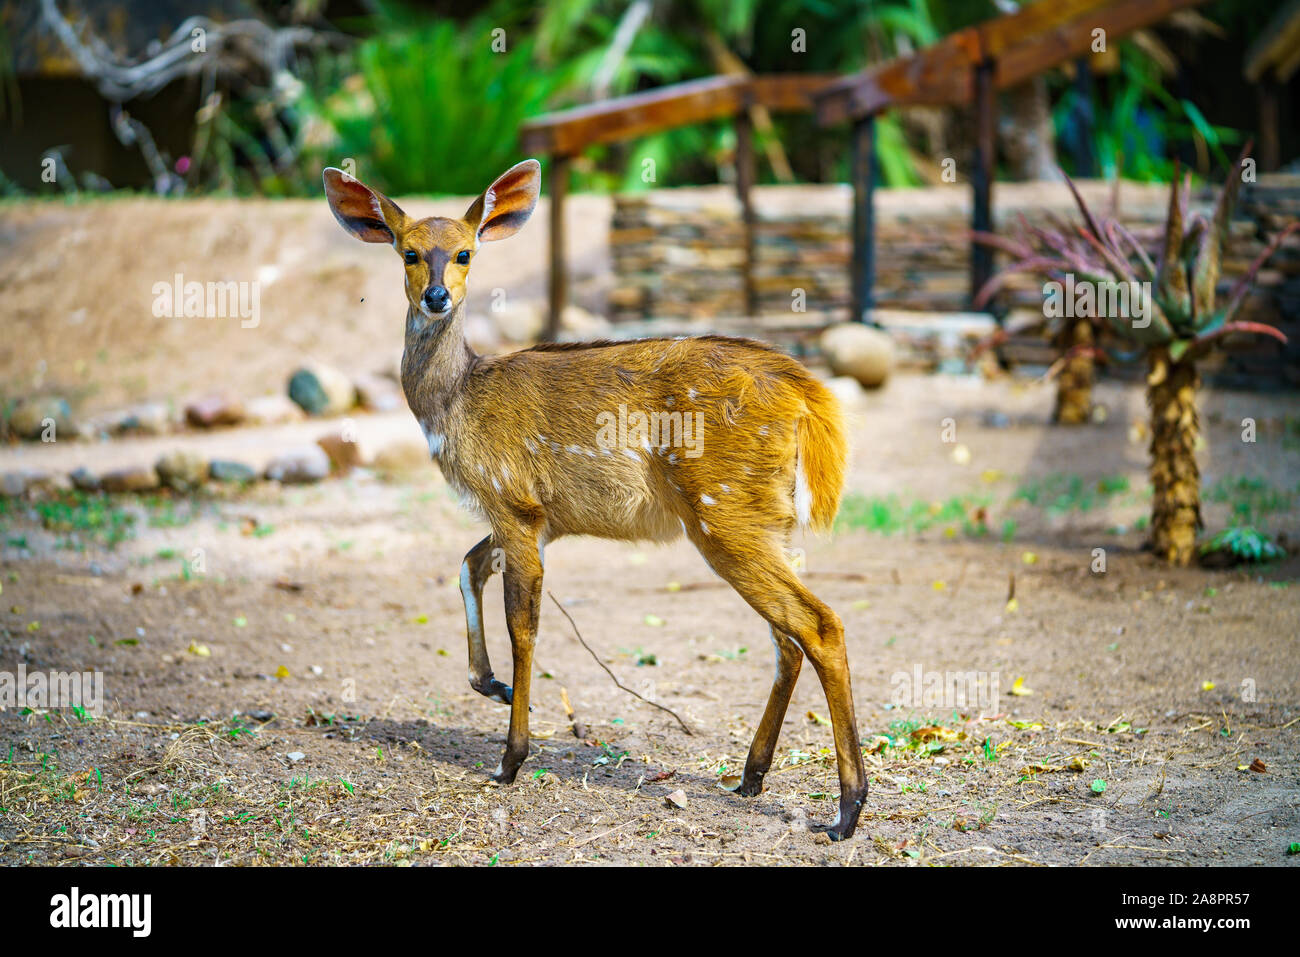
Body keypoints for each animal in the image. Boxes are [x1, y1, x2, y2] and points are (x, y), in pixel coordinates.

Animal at [323, 160, 869, 839]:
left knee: (818, 625)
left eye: (465, 252)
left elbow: (523, 623)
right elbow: (467, 565)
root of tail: (804, 389)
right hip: (768, 523)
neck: (458, 399)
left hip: (723, 516)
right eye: (409, 252)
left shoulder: (514, 505)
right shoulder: (539, 518)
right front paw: (491, 685)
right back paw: (749, 778)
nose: (437, 296)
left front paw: (510, 758)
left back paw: (845, 811)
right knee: (787, 640)